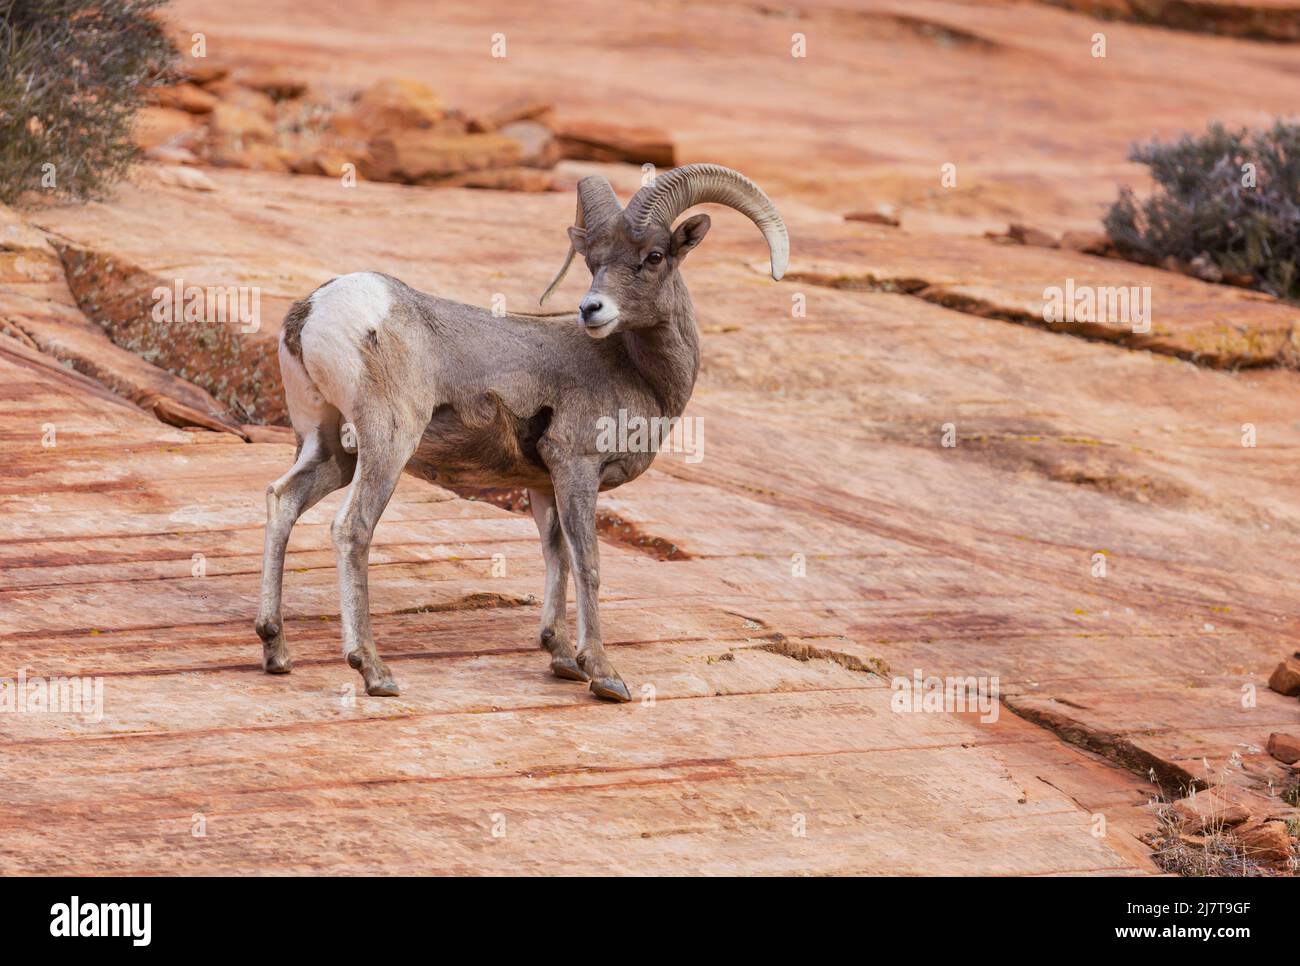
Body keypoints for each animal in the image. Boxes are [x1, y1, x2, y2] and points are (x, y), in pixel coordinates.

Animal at [255, 163, 788, 701]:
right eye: (595, 261)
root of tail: (314, 310)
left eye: (654, 256)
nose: (591, 309)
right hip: (388, 443)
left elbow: (557, 556)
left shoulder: (543, 485)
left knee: (283, 500)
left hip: (329, 448)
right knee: (352, 527)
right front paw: (603, 674)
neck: (635, 372)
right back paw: (373, 670)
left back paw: (275, 649)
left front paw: (562, 658)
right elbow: (588, 563)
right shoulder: (576, 468)